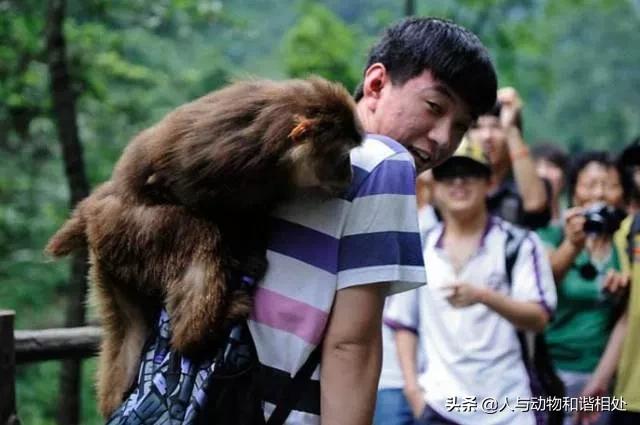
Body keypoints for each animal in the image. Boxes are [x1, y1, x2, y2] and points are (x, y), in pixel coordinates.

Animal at [44, 77, 364, 417]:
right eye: (339, 156)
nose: (349, 173)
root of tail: (95, 206)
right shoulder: (234, 155)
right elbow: (175, 186)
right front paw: (240, 252)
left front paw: (249, 250)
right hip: (125, 224)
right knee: (196, 234)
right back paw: (195, 336)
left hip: (112, 253)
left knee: (128, 334)